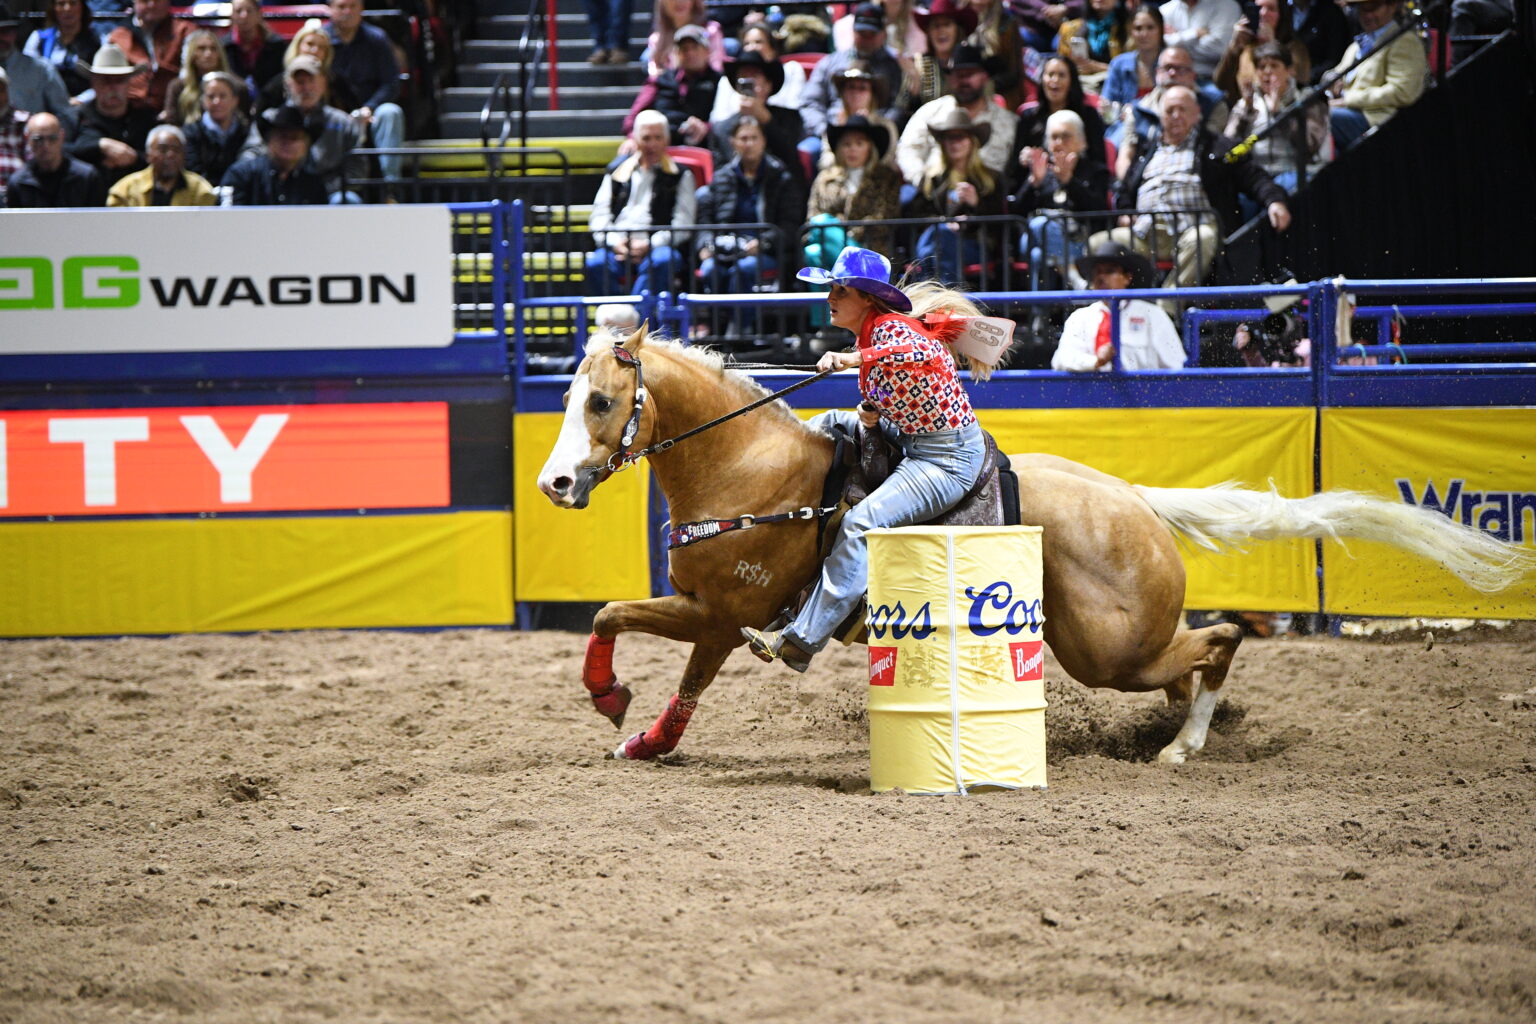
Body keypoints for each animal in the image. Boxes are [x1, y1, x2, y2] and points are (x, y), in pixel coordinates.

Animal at [536, 325, 1533, 765]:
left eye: (601, 401)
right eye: (566, 397)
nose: (553, 486)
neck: (750, 470)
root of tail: (1137, 501)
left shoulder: (723, 610)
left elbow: (616, 616)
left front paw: (614, 702)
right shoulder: (711, 613)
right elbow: (664, 661)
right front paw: (644, 734)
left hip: (1106, 650)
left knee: (1218, 641)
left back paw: (1182, 748)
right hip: (1120, 648)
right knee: (1194, 660)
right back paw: (1176, 734)